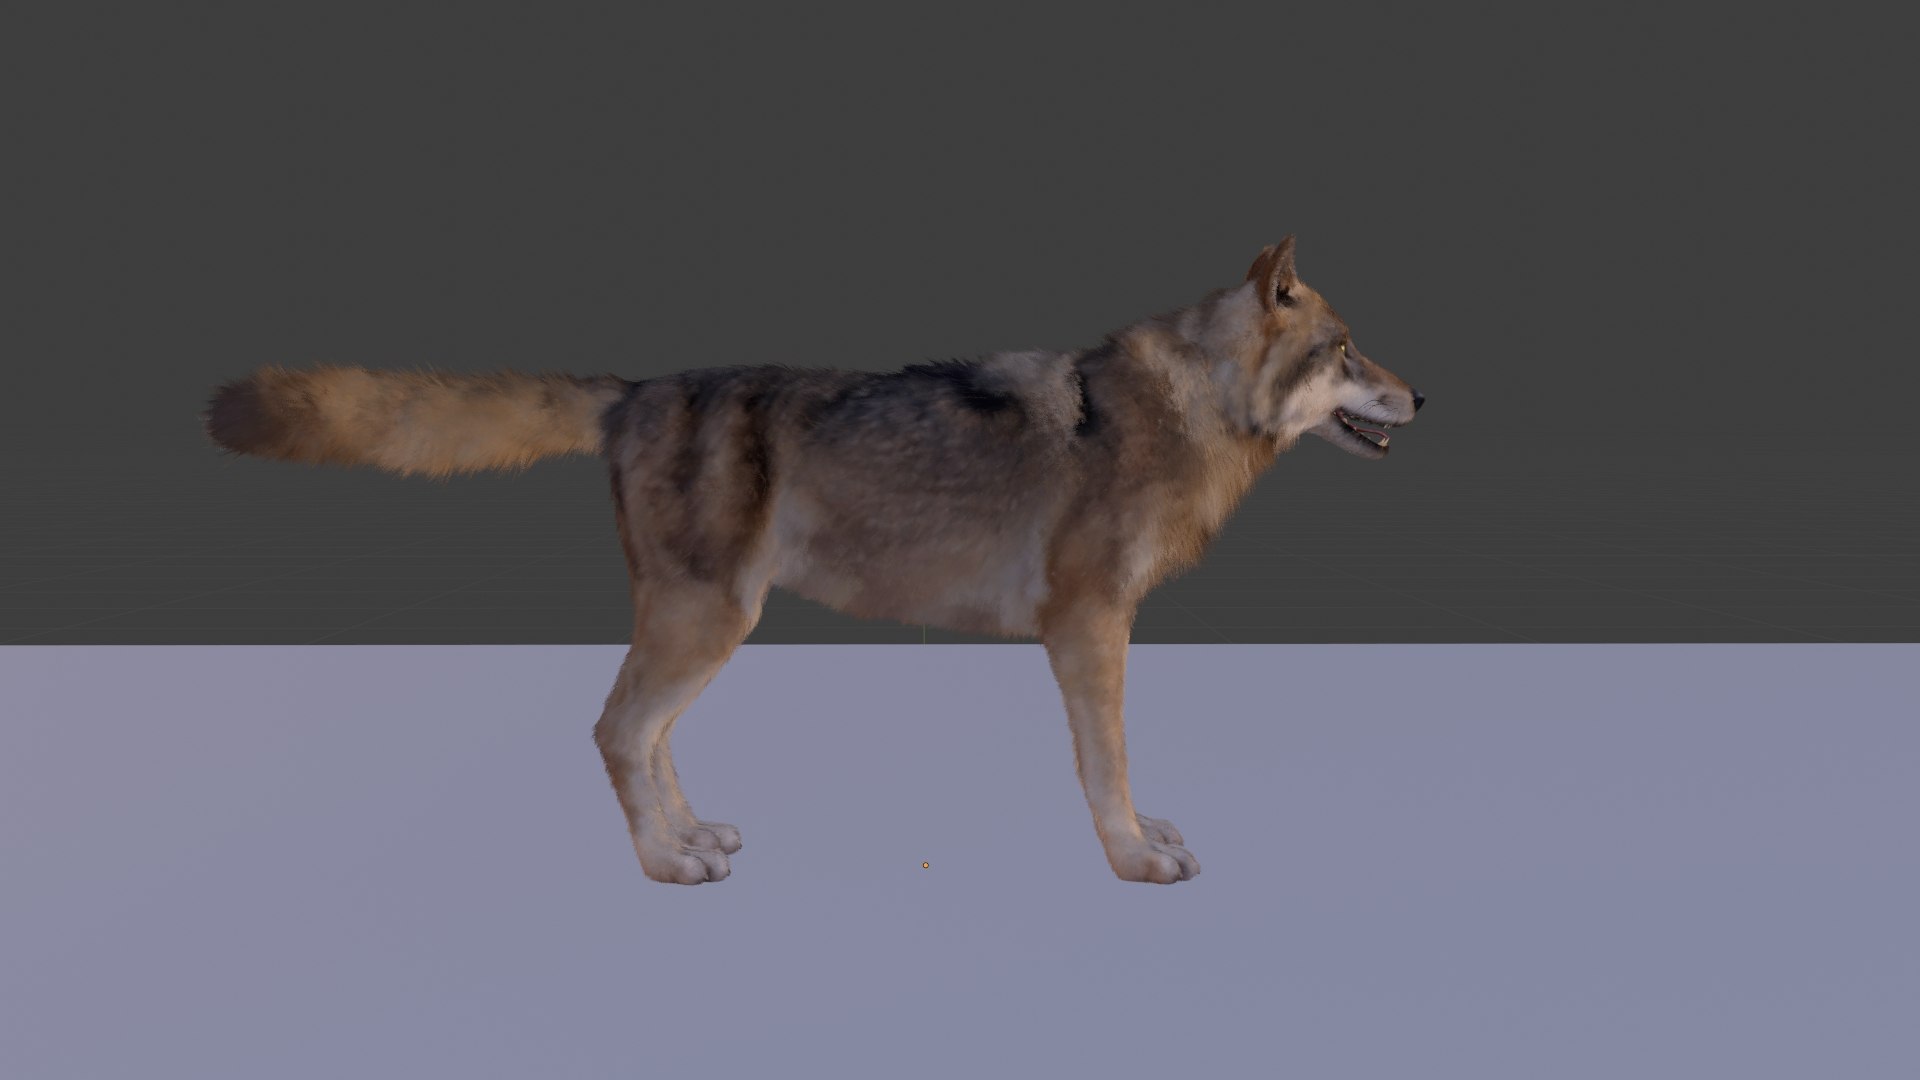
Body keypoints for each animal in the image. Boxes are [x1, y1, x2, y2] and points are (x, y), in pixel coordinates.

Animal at [203, 236, 1424, 886]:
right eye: (1347, 351)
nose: (1424, 397)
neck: (1190, 410)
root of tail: (635, 390)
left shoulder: (1096, 632)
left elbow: (1117, 764)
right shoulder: (1087, 630)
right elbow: (1105, 764)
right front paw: (1130, 861)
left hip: (714, 624)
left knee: (646, 736)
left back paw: (692, 834)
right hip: (710, 624)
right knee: (615, 730)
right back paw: (666, 867)